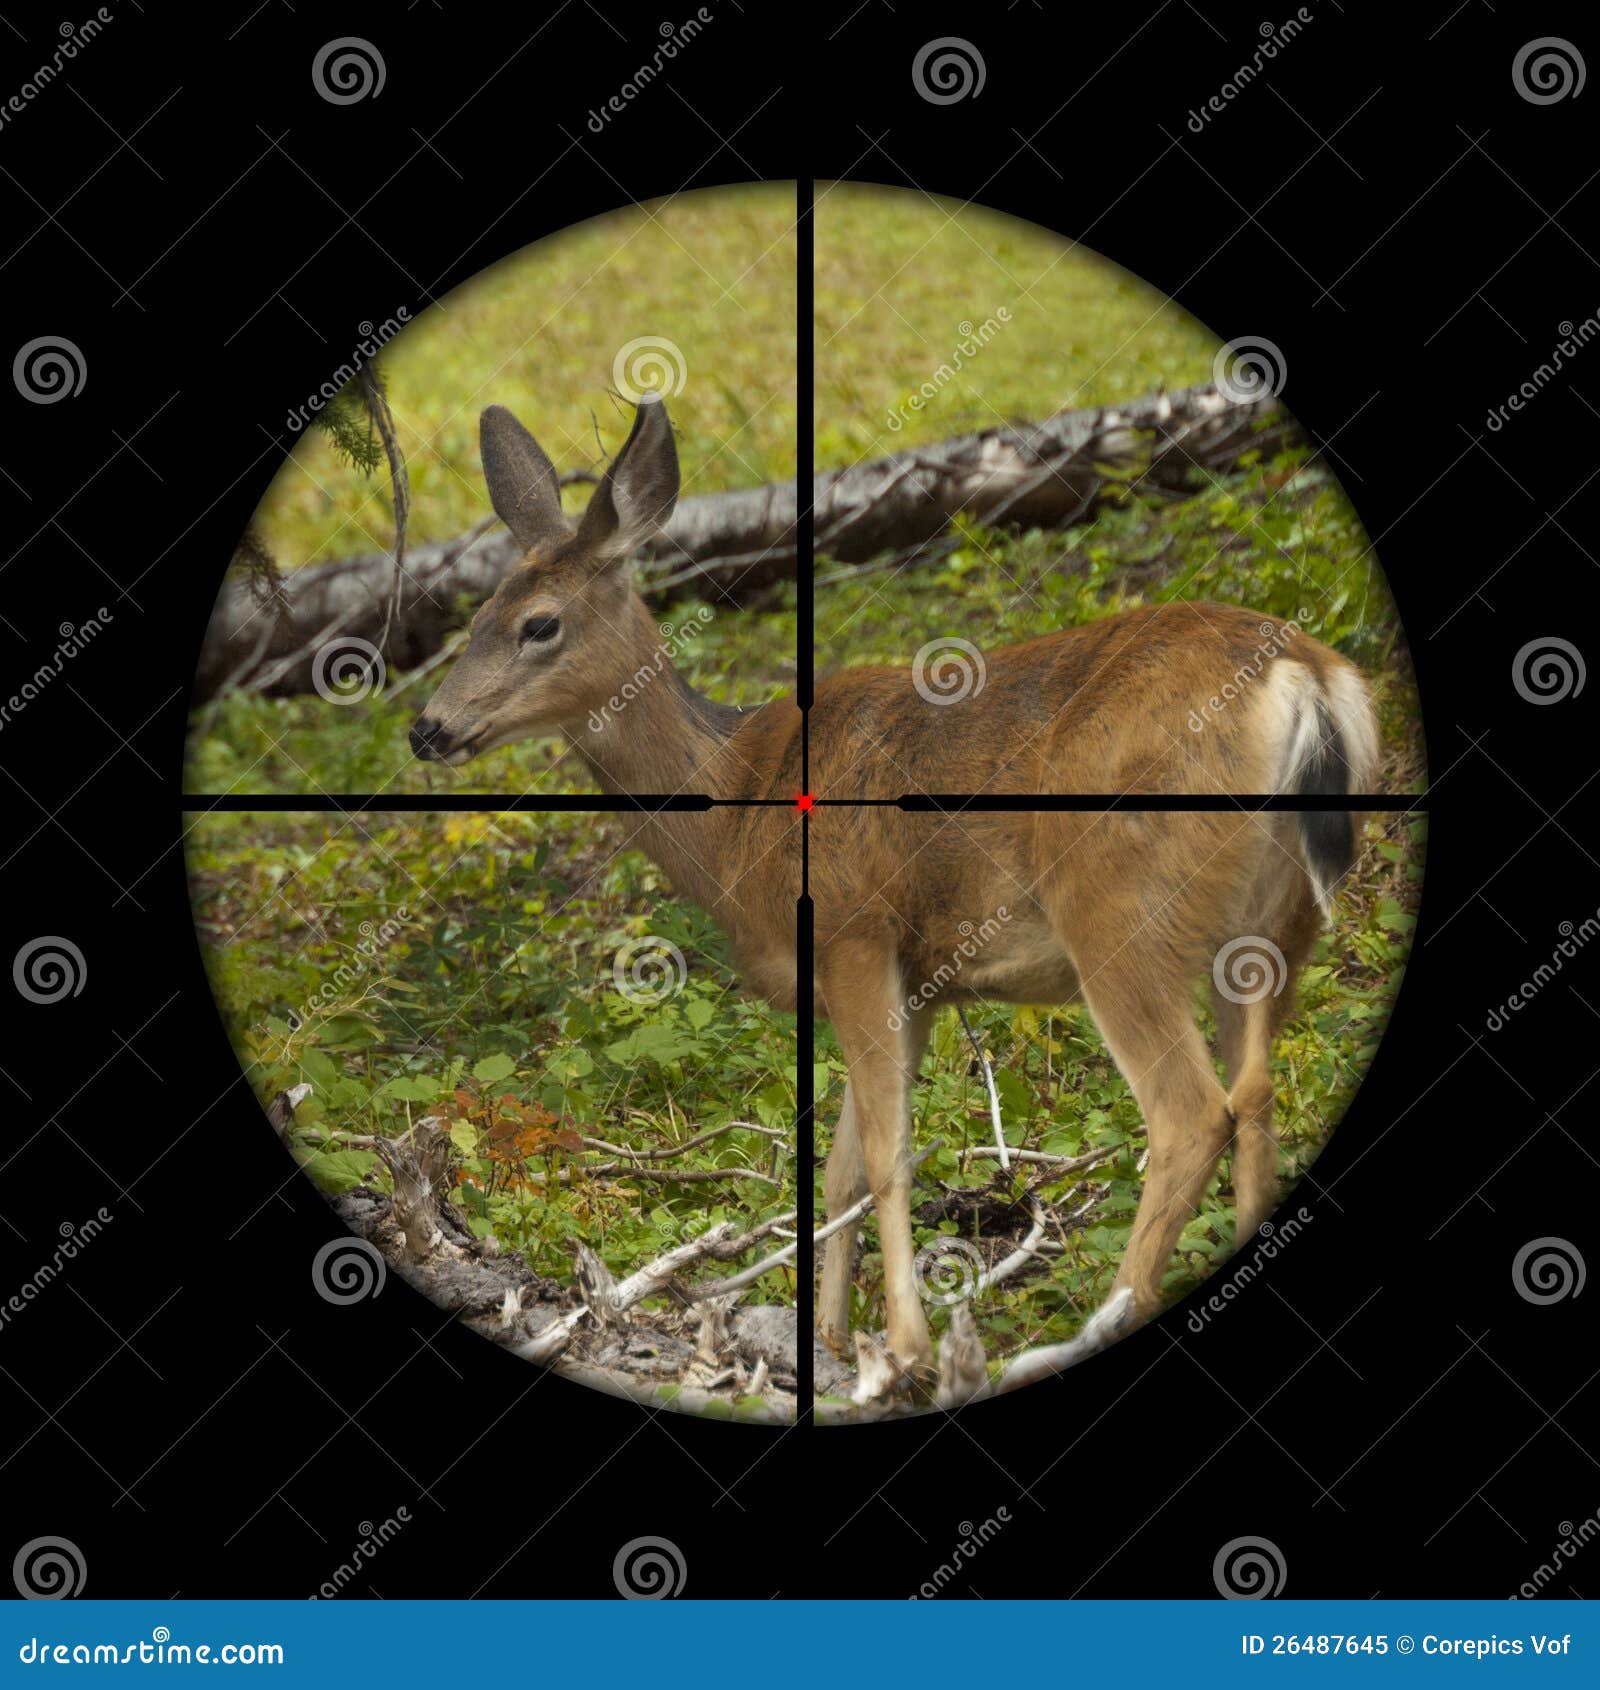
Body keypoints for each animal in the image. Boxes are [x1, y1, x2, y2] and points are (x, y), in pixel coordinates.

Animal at [411, 390, 1379, 1396]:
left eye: (540, 624)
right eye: (475, 619)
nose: (426, 729)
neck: (741, 807)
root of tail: (1310, 680)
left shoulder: (853, 929)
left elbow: (884, 1154)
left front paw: (907, 1349)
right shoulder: (915, 976)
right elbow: (839, 1166)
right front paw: (834, 1342)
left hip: (1118, 910)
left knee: (1190, 1115)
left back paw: (1089, 1323)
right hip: (1277, 924)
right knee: (1259, 1095)